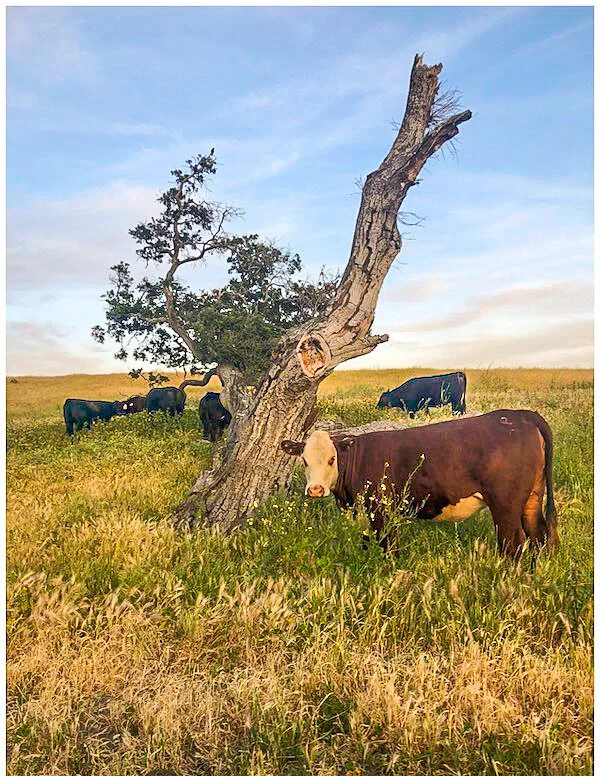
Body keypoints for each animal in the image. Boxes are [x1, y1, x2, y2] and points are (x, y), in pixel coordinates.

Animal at [282, 409, 558, 559]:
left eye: (331, 459)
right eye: (304, 460)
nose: (315, 489)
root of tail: (520, 415)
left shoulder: (381, 513)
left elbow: (389, 548)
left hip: (505, 505)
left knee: (514, 543)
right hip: (532, 497)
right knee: (539, 536)